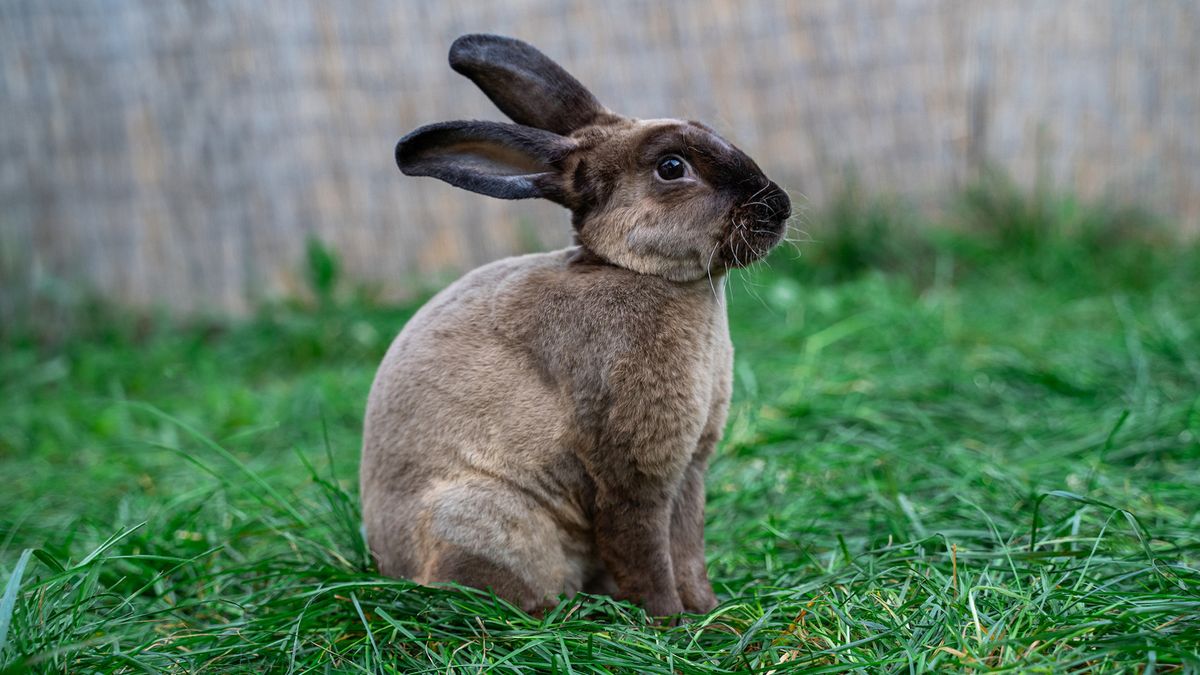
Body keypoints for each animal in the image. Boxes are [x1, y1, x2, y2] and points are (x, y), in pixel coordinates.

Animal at [361, 33, 790, 617]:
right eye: (671, 167)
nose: (780, 206)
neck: (634, 270)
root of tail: (394, 564)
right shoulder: (631, 473)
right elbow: (644, 551)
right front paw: (670, 620)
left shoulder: (689, 474)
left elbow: (688, 551)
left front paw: (709, 613)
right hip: (483, 520)